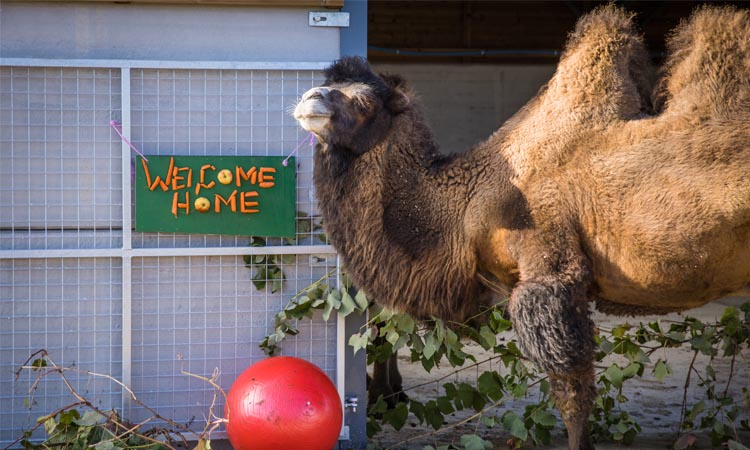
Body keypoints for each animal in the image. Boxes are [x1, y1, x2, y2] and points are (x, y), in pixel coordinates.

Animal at [293, 5, 750, 450]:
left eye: (365, 101)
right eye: (329, 84)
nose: (309, 98)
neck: (468, 204)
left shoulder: (549, 269)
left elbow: (571, 390)